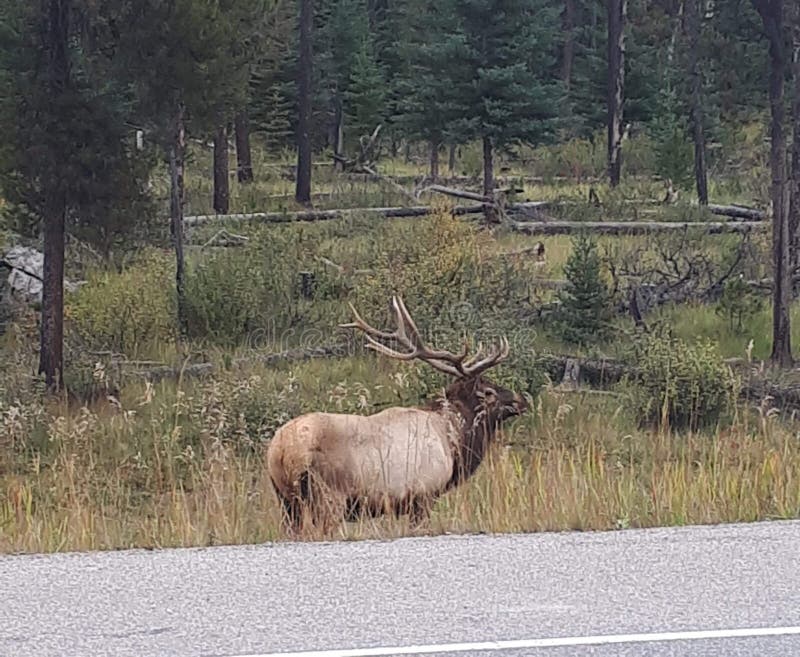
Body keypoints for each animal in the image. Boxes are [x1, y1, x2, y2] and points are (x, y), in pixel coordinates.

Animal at [265, 295, 529, 537]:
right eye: (489, 392)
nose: (521, 400)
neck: (453, 442)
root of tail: (282, 450)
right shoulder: (423, 495)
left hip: (285, 500)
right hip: (329, 495)